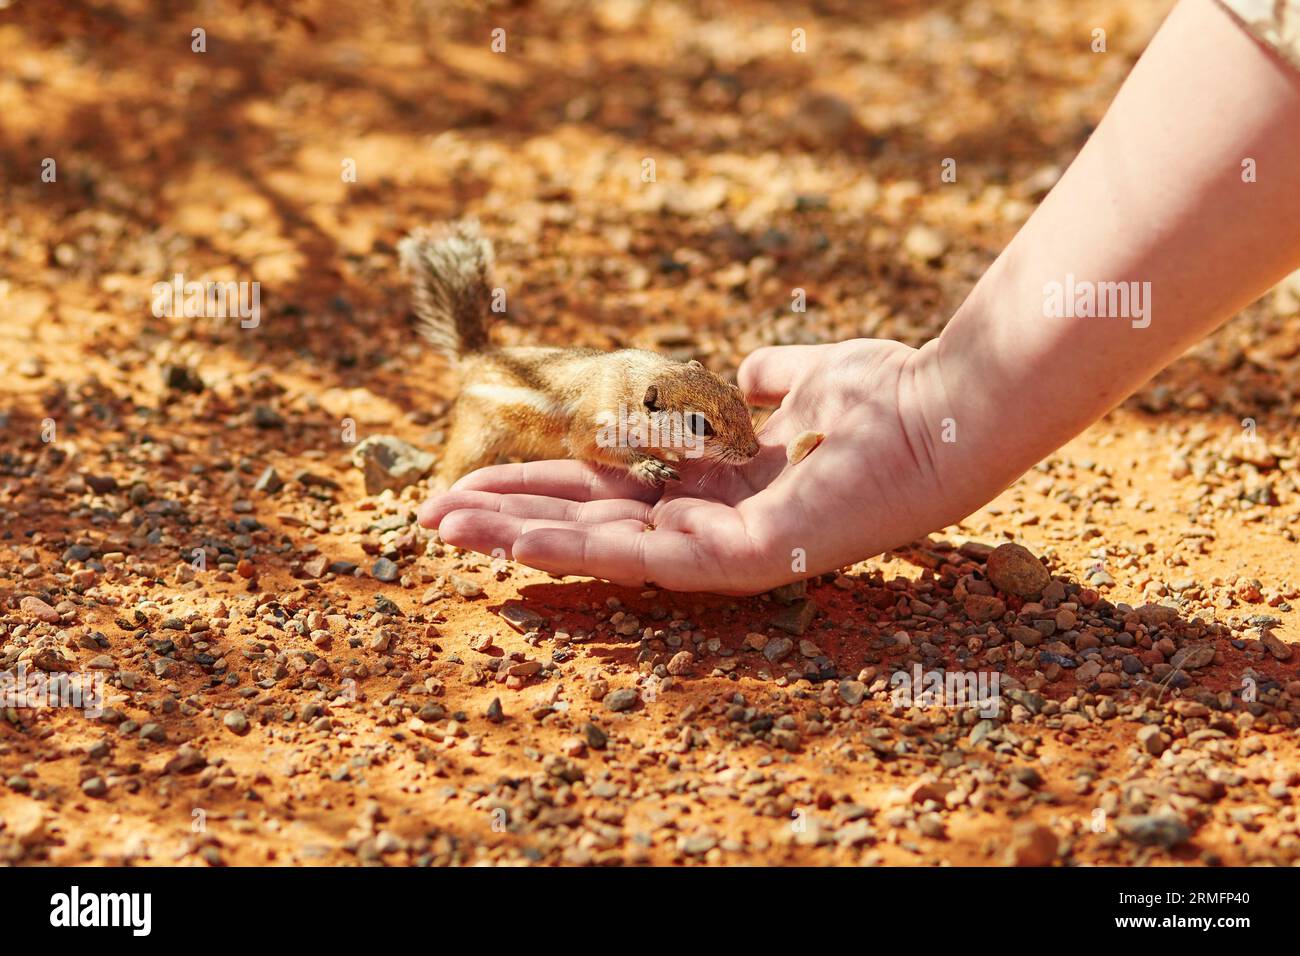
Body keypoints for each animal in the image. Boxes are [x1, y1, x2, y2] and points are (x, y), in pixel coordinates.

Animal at [398, 220, 761, 489]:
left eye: (736, 394)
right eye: (700, 426)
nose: (753, 451)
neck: (633, 385)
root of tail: (477, 355)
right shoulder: (592, 424)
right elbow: (590, 447)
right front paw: (647, 466)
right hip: (476, 437)